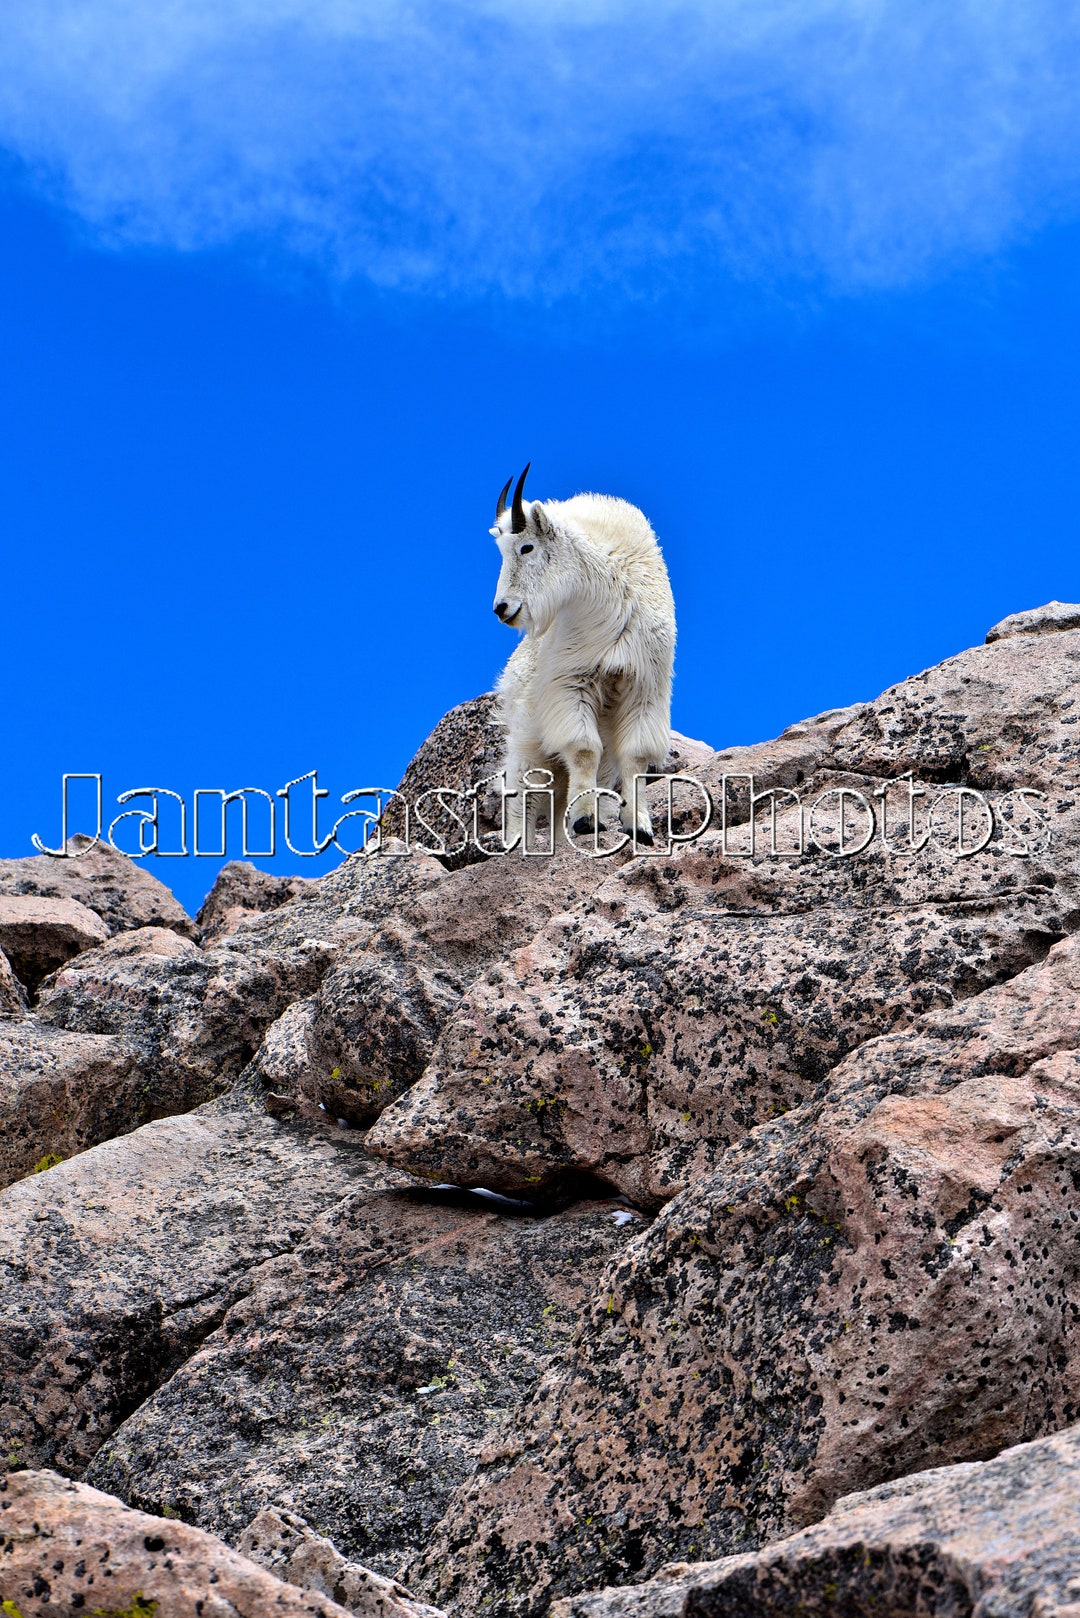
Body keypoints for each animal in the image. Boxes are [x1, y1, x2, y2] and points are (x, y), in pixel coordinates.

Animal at [491, 464, 675, 846]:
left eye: (527, 547)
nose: (502, 608)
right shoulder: (572, 681)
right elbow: (584, 749)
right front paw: (586, 820)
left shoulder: (642, 686)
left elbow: (635, 757)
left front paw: (640, 827)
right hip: (527, 732)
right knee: (523, 788)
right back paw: (518, 841)